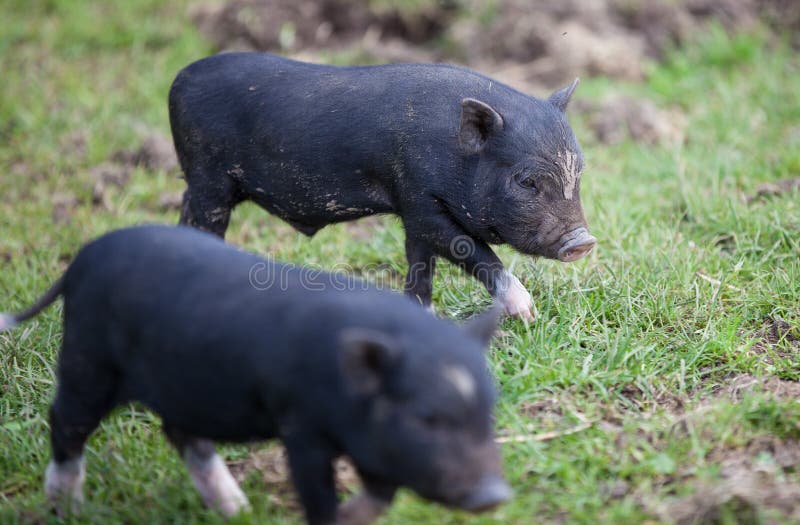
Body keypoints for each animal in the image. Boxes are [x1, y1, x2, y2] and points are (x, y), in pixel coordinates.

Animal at [0, 225, 511, 525]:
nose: (495, 495)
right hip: (88, 360)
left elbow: (380, 496)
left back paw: (236, 510)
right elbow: (318, 493)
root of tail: (82, 259)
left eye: (487, 415)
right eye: (428, 418)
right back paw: (67, 509)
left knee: (183, 435)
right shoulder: (300, 424)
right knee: (66, 422)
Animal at [169, 53, 596, 321]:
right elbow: (470, 249)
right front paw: (528, 313)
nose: (583, 241)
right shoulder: (419, 199)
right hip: (209, 179)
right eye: (526, 181)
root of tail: (179, 79)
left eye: (579, 173)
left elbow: (420, 262)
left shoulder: (415, 211)